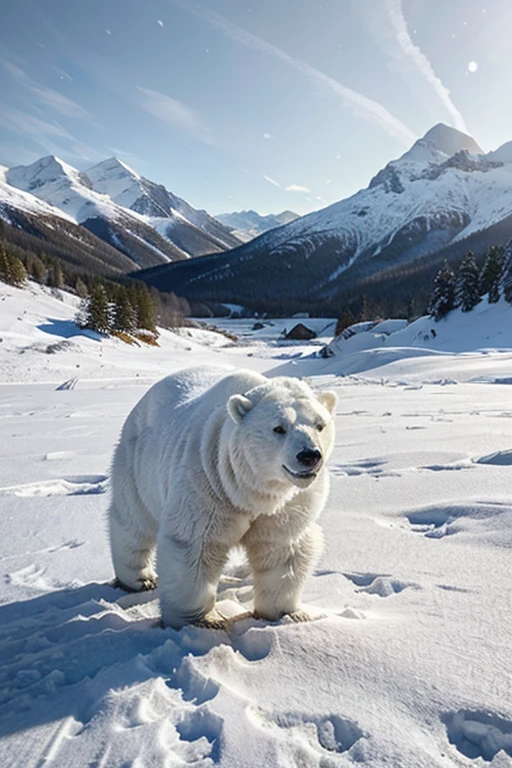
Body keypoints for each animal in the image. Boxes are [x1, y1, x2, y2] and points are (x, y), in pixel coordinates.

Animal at [108, 365, 337, 629]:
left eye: (320, 425)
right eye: (279, 428)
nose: (309, 455)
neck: (248, 490)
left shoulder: (288, 504)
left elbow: (282, 549)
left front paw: (285, 615)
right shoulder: (208, 484)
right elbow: (194, 546)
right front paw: (202, 621)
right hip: (138, 465)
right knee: (134, 522)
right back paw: (140, 579)